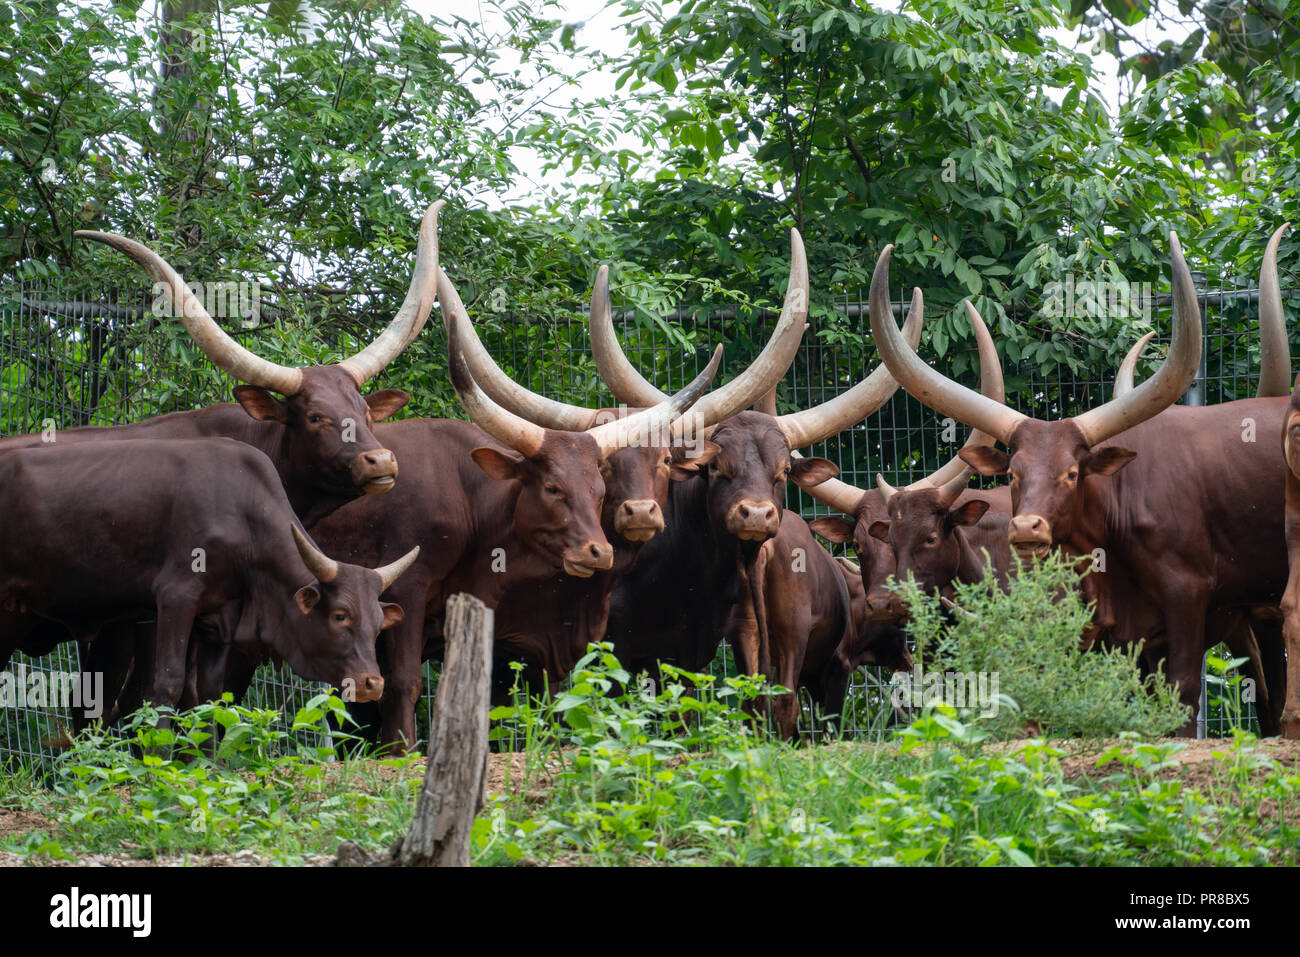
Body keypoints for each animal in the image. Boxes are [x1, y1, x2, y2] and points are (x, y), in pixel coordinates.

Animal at [0, 438, 420, 711]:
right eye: (340, 615)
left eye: (379, 624)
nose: (372, 683)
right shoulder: (176, 597)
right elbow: (168, 684)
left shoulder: (219, 621)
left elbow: (209, 694)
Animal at [867, 227, 1296, 735]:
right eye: (1013, 472)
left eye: (1072, 473)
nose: (1025, 528)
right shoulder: (1130, 635)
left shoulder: (1186, 595)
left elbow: (1183, 694)